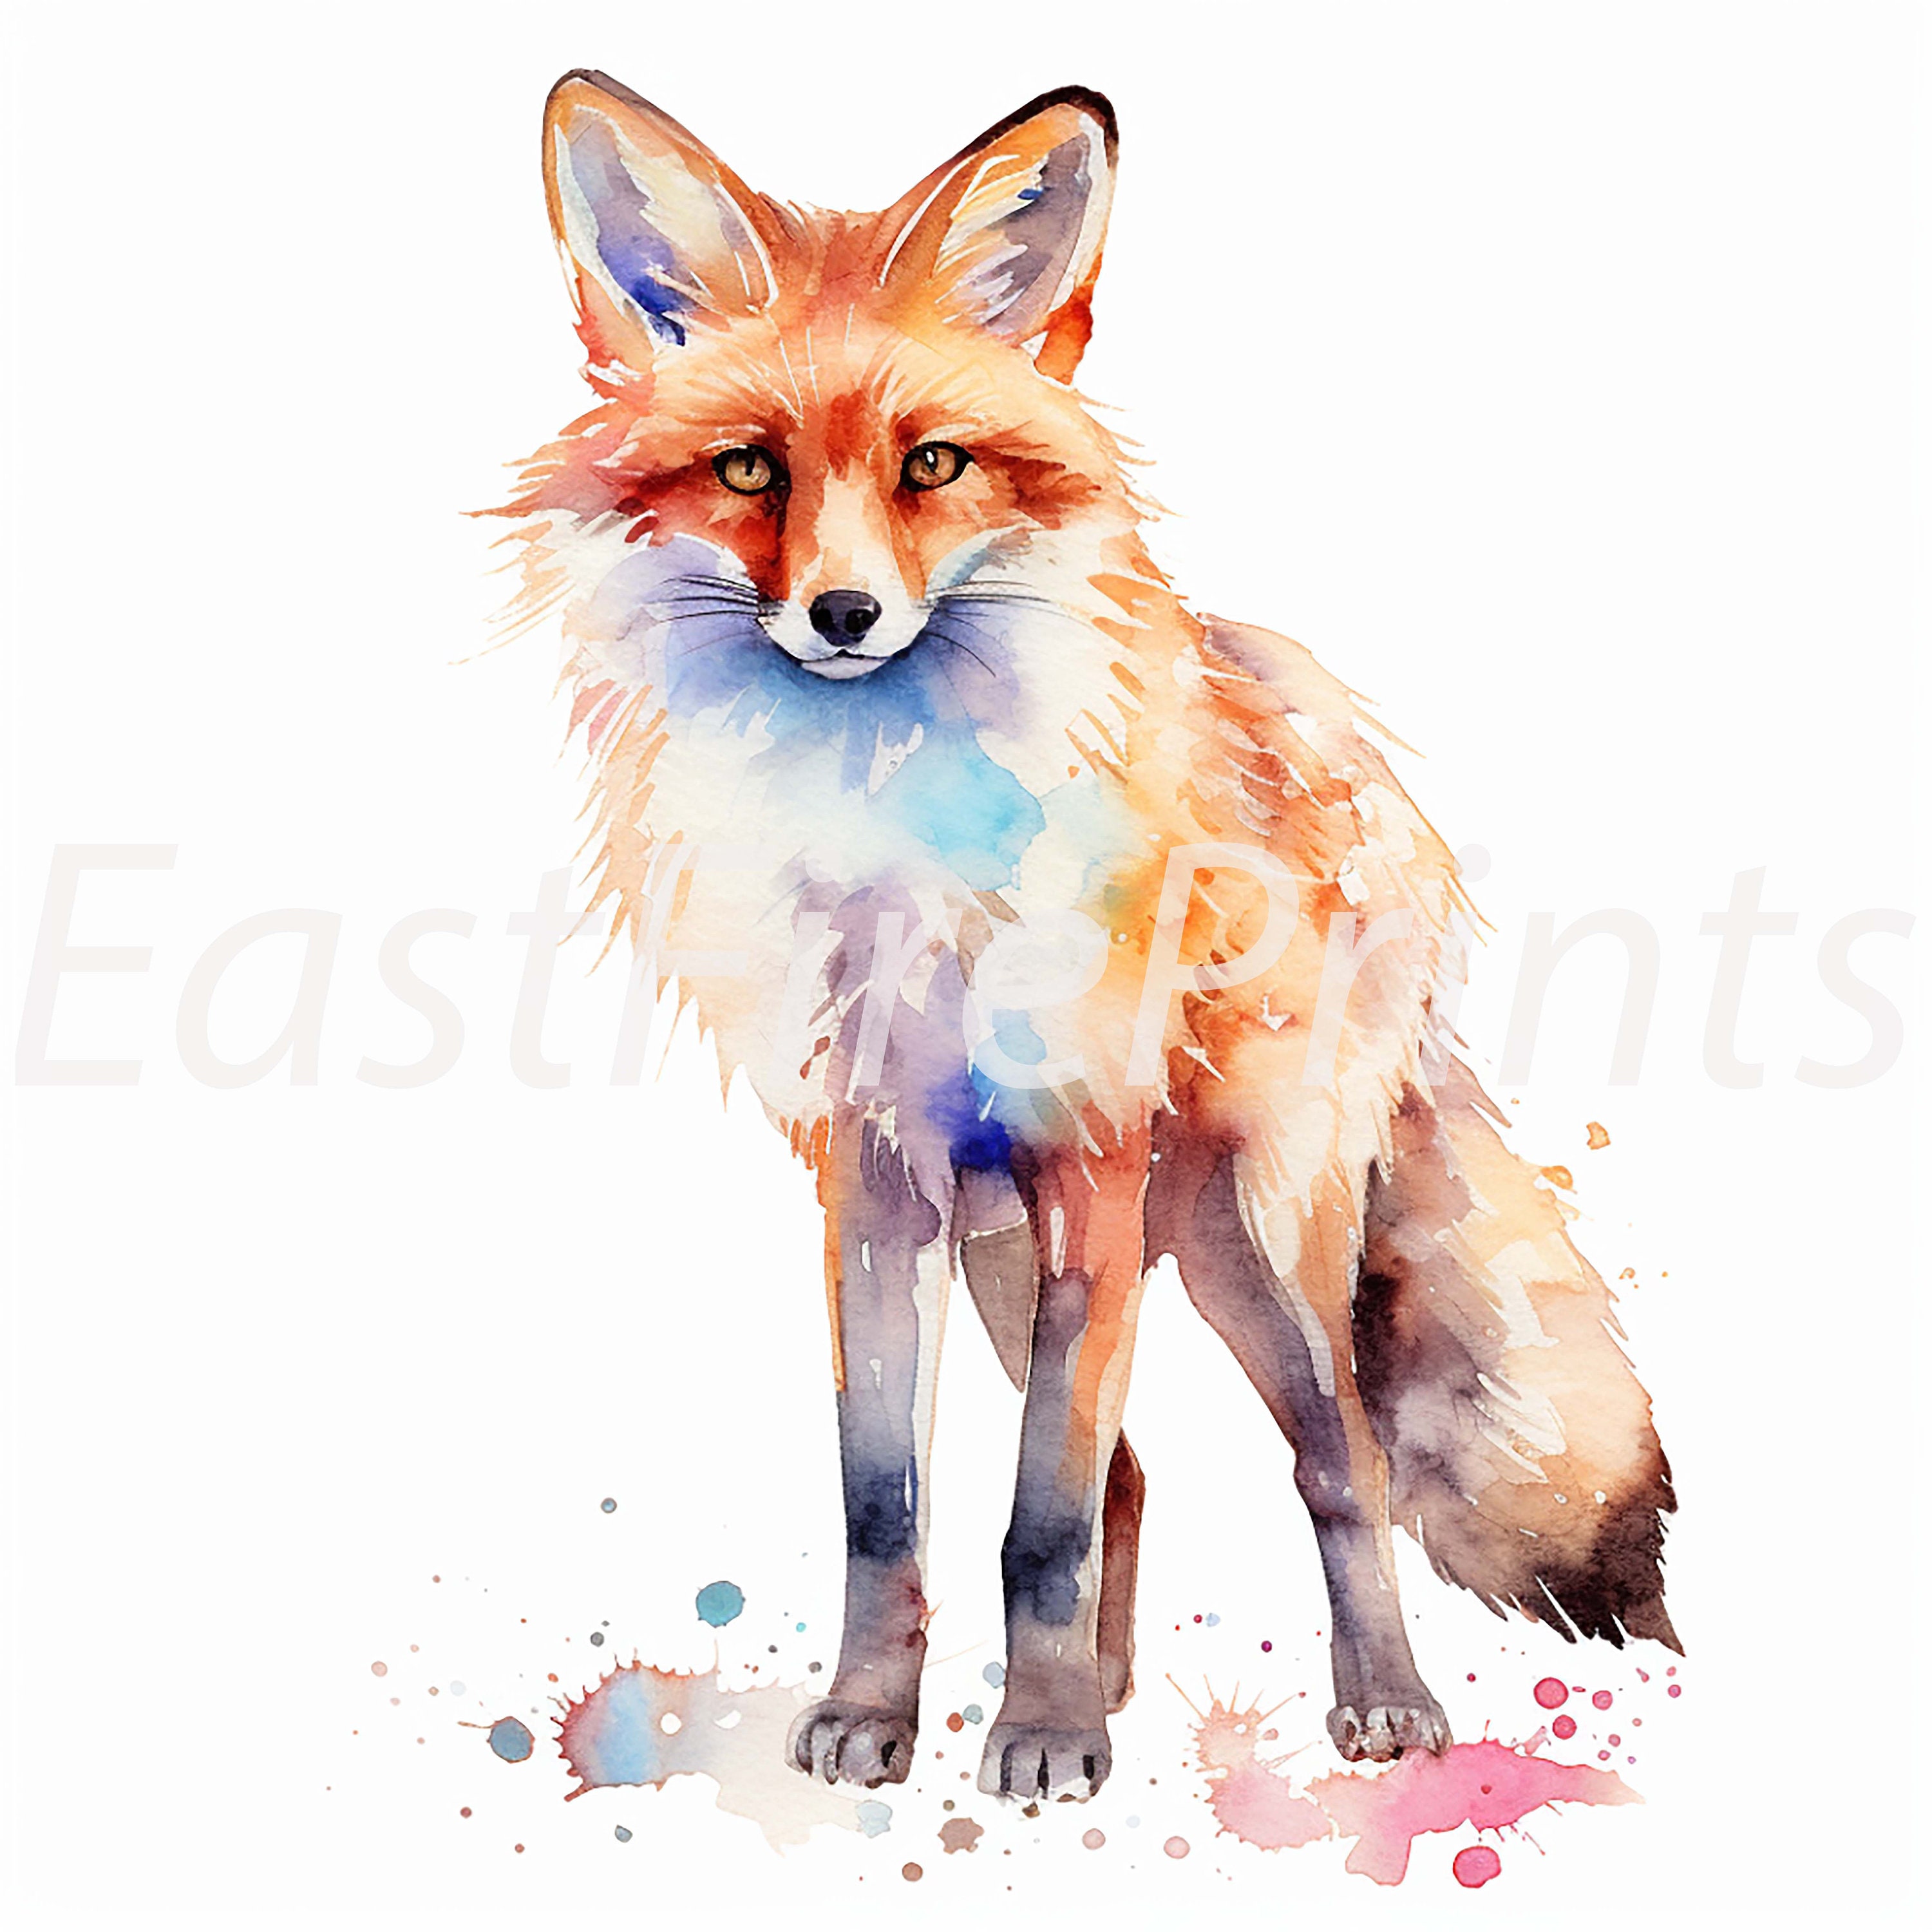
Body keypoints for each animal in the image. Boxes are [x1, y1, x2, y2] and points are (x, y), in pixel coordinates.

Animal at [493, 71, 1678, 1805]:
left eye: (931, 464)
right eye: (748, 471)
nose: (842, 617)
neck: (892, 840)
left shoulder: (1086, 1162)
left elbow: (1035, 1516)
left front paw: (1040, 1732)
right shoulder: (877, 1187)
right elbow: (894, 1507)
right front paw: (889, 1712)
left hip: (1255, 1240)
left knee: (1341, 1462)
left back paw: (1371, 1705)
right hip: (1018, 1263)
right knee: (1130, 1468)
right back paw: (1104, 1691)